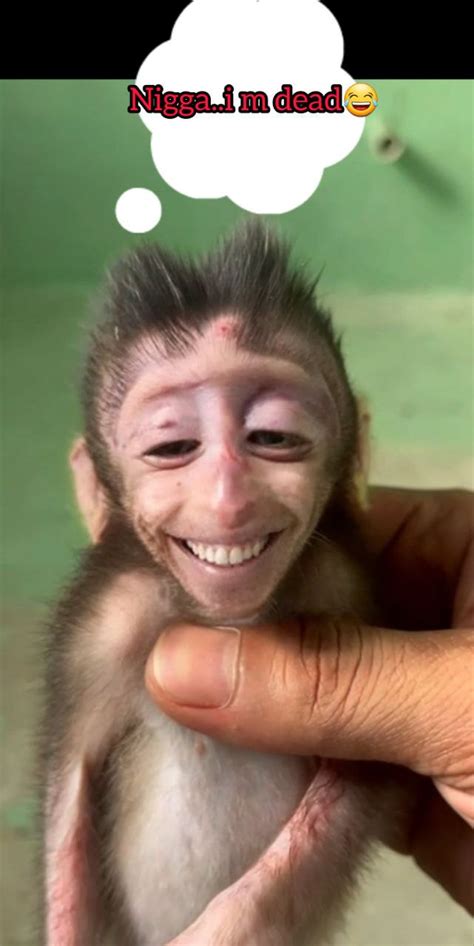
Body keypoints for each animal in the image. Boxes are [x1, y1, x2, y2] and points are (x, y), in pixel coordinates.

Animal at [40, 220, 415, 946]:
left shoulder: (340, 586)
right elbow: (70, 793)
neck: (223, 620)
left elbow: (350, 777)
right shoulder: (106, 622)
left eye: (273, 437)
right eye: (172, 449)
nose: (228, 499)